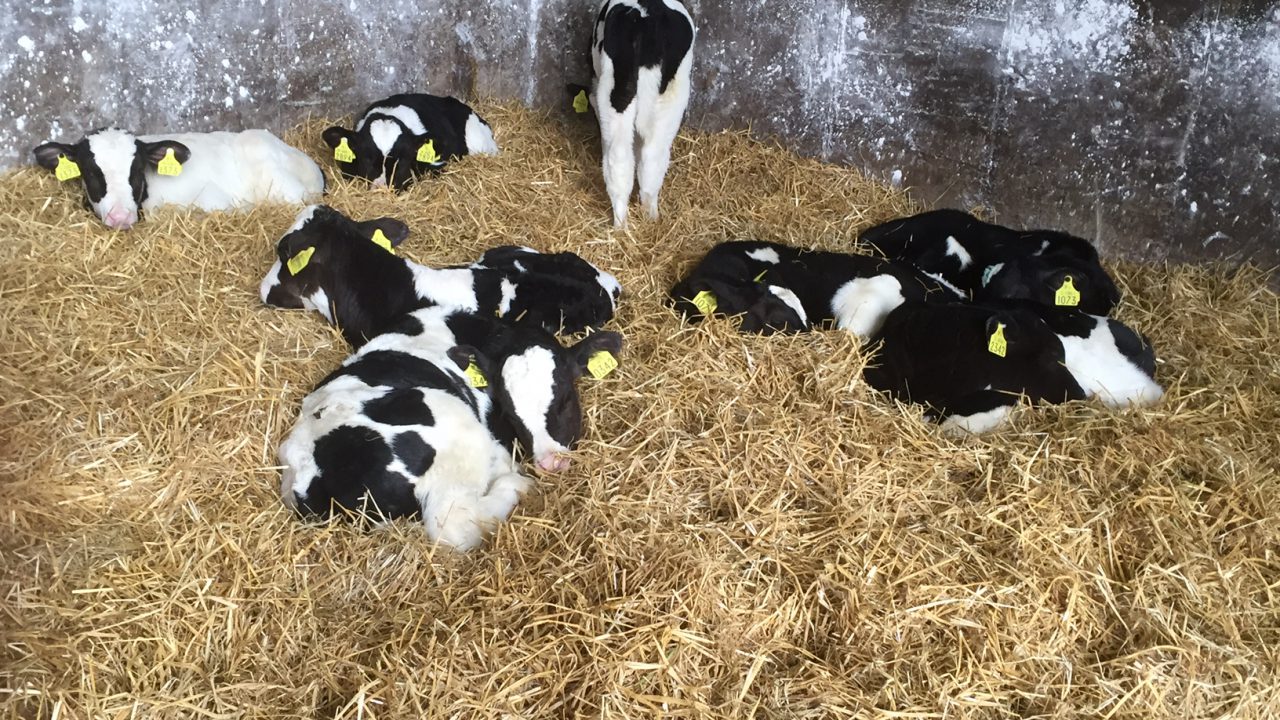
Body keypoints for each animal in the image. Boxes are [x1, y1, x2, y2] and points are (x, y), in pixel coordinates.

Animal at [591, 0, 695, 228]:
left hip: (617, 91)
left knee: (621, 156)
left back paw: (622, 224)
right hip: (670, 99)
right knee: (651, 157)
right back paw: (649, 217)